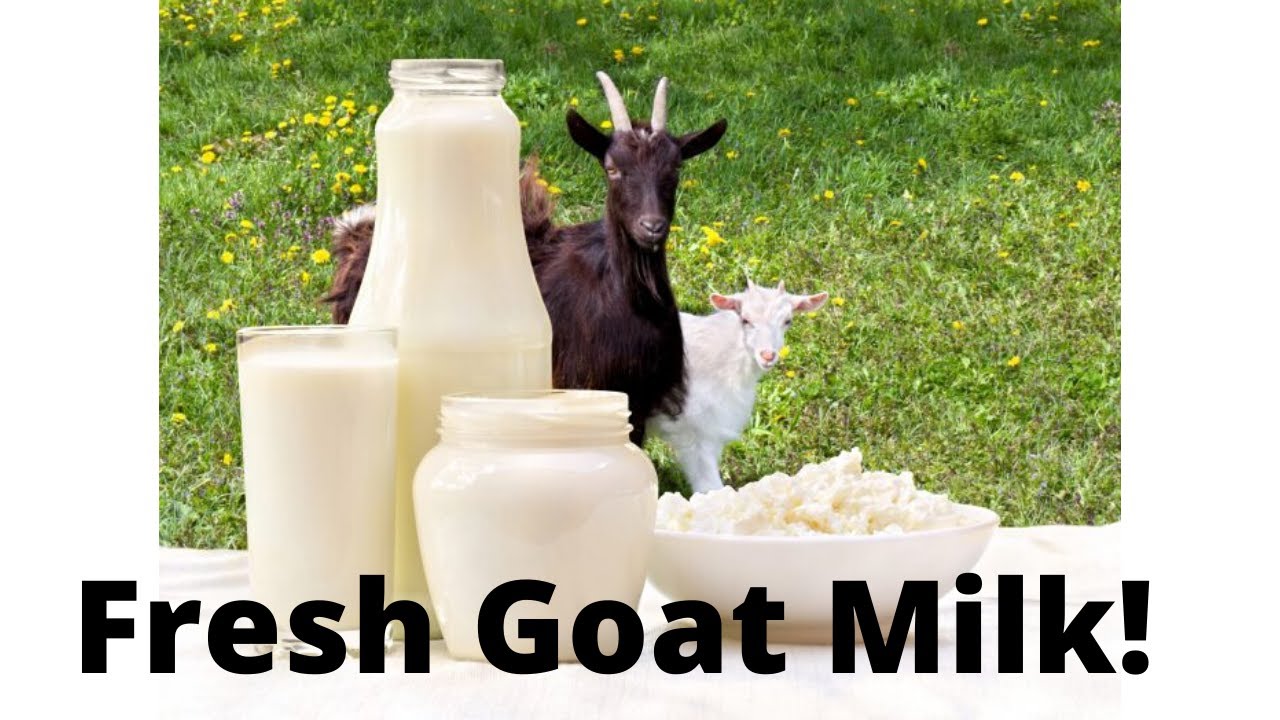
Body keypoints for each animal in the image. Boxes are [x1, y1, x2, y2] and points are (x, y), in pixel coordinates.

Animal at [323, 72, 727, 446]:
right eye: (612, 168)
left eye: (675, 168)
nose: (652, 227)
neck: (629, 298)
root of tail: (356, 234)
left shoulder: (638, 396)